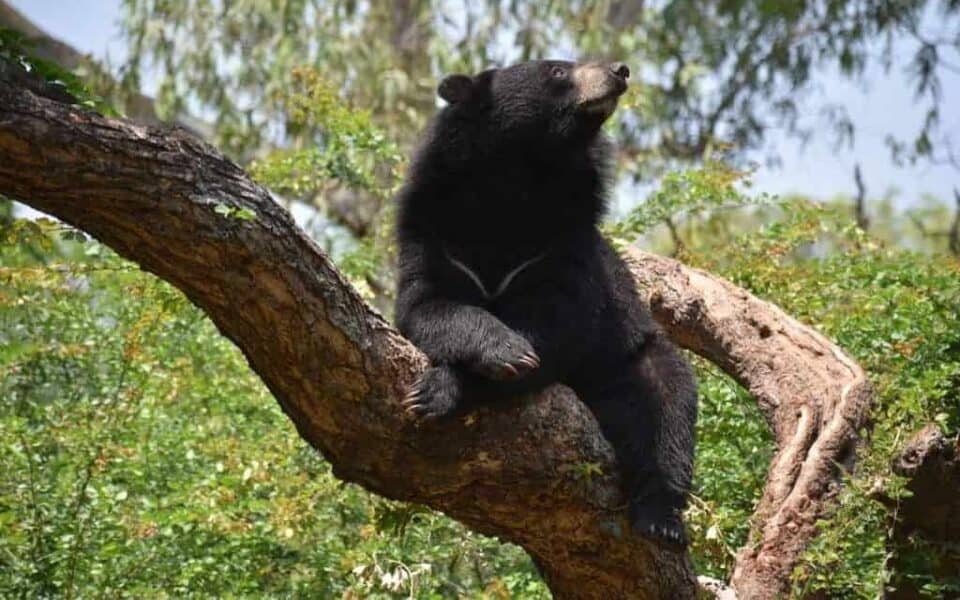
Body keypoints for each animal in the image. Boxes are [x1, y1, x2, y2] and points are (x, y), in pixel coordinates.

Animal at [393, 59, 697, 547]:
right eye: (557, 71)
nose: (620, 71)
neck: (522, 176)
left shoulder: (564, 245)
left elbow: (560, 330)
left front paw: (471, 376)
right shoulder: (432, 233)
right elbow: (428, 308)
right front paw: (495, 356)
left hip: (632, 360)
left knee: (669, 411)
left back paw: (662, 520)